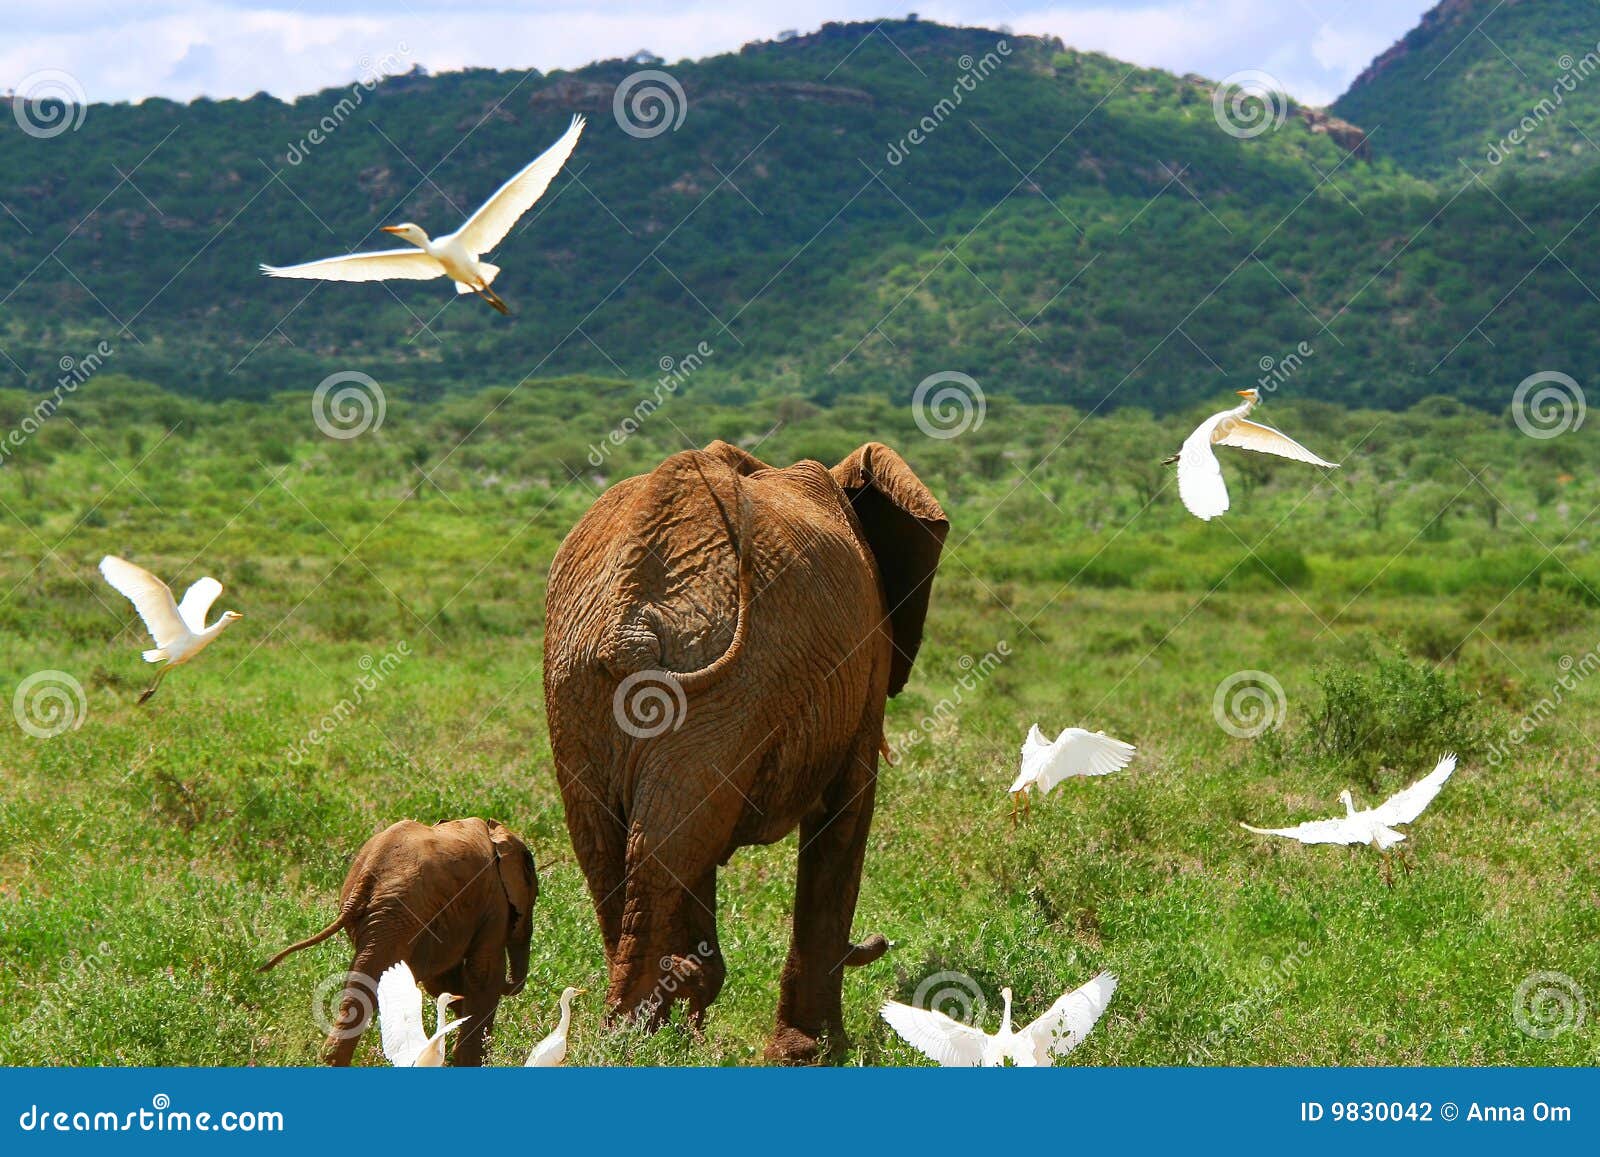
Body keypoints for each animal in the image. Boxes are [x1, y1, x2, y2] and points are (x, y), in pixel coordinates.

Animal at [259, 817, 537, 1066]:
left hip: (387, 918)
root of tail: (367, 875)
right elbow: (484, 975)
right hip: (398, 915)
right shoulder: (496, 904)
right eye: (533, 899)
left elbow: (444, 981)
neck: (497, 832)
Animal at [543, 439, 947, 1062]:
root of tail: (630, 623)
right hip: (728, 689)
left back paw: (640, 1034)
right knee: (666, 841)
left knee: (626, 843)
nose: (881, 942)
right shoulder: (867, 662)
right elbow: (847, 817)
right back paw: (643, 1035)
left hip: (589, 683)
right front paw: (814, 1055)